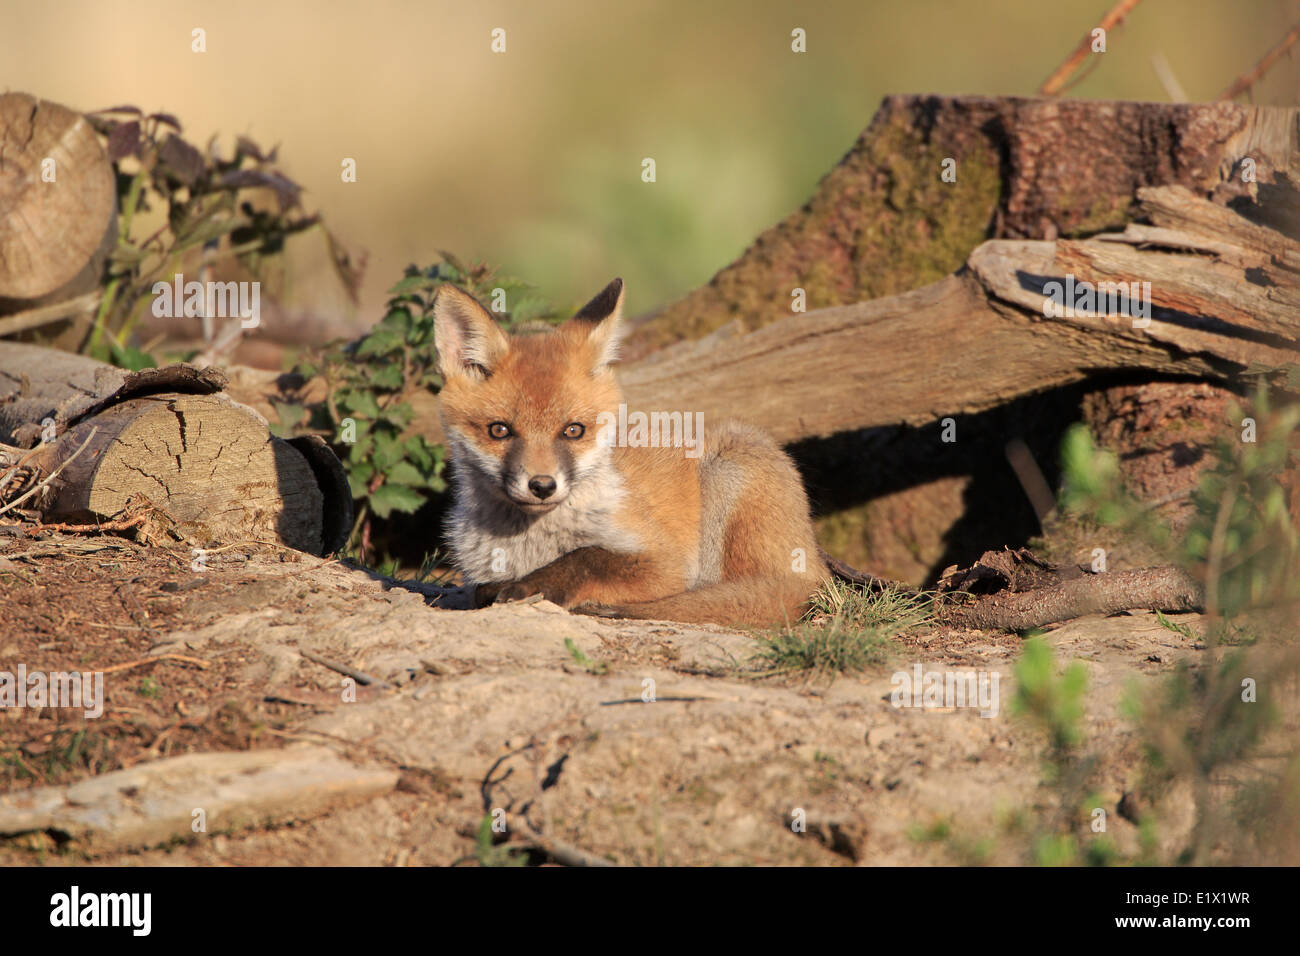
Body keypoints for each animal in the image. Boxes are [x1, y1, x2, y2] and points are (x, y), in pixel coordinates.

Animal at [432, 277, 830, 628]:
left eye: (573, 430)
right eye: (499, 430)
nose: (542, 486)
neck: (532, 547)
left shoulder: (667, 564)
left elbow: (589, 557)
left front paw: (538, 587)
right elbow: (483, 588)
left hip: (728, 471)